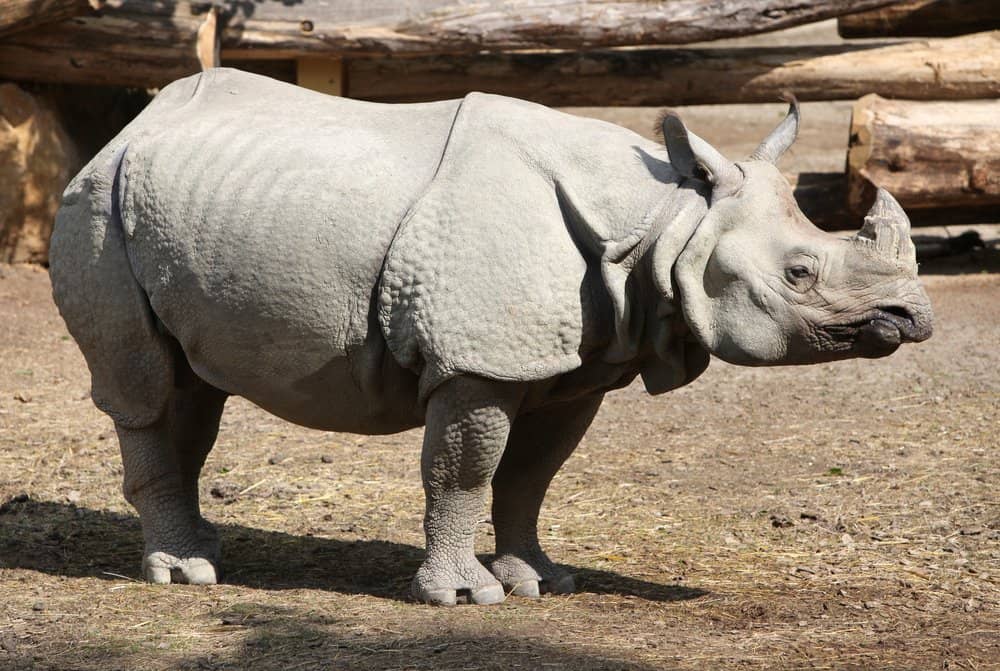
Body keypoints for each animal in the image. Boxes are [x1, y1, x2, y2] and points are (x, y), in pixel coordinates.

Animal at [50, 69, 932, 605]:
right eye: (799, 274)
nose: (913, 317)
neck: (663, 218)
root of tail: (130, 125)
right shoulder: (479, 358)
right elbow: (466, 472)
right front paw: (464, 596)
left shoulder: (579, 362)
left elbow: (531, 475)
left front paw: (543, 578)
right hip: (95, 205)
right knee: (145, 388)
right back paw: (183, 574)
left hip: (174, 207)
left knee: (192, 386)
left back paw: (206, 548)